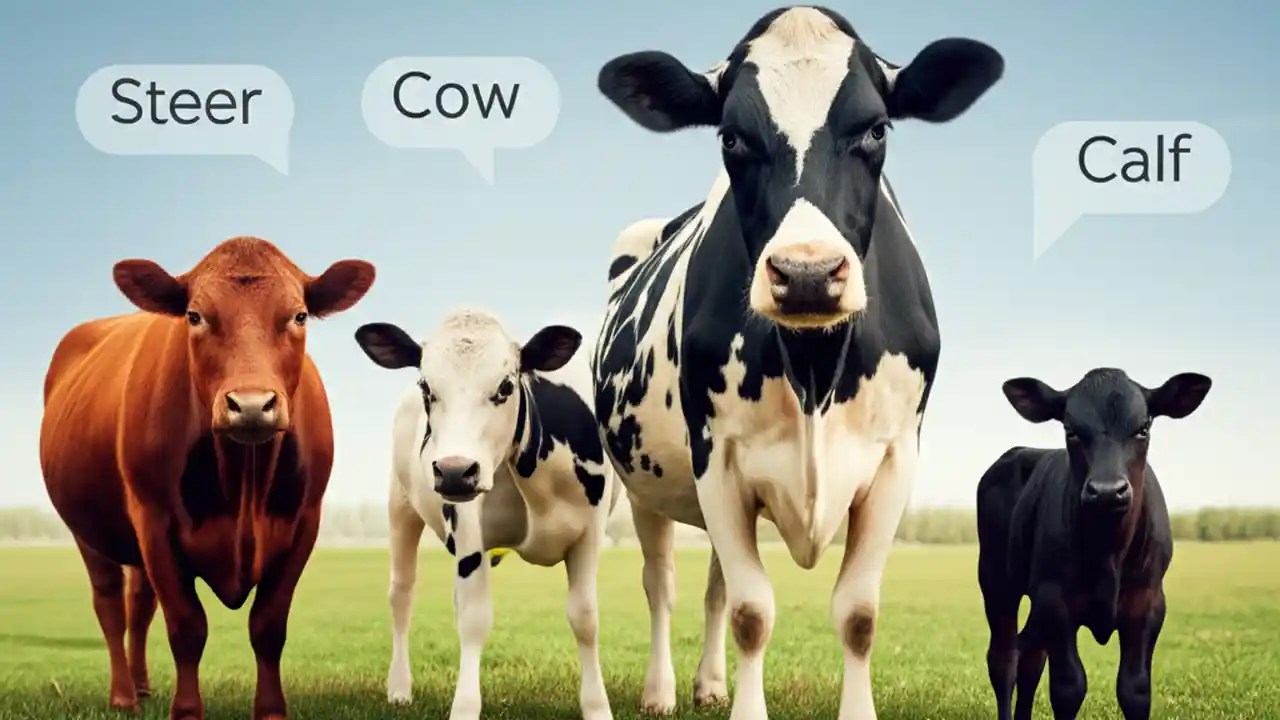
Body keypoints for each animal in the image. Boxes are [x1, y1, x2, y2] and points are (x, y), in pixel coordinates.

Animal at [39, 236, 375, 720]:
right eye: (195, 316)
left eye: (298, 315)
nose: (251, 405)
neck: (243, 482)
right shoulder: (154, 523)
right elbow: (186, 626)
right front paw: (186, 711)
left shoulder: (304, 523)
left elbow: (268, 625)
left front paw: (271, 711)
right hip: (87, 529)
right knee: (110, 603)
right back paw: (123, 694)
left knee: (139, 603)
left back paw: (142, 684)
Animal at [354, 308, 620, 720]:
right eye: (427, 387)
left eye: (506, 386)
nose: (453, 470)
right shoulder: (470, 537)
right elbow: (474, 620)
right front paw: (464, 708)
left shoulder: (590, 533)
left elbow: (585, 617)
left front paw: (597, 708)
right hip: (400, 504)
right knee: (401, 593)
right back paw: (399, 687)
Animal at [590, 6, 1003, 719]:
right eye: (731, 136)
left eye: (876, 128)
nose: (807, 274)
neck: (814, 367)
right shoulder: (717, 457)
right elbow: (753, 612)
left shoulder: (895, 458)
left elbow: (857, 613)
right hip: (645, 481)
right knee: (662, 585)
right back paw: (661, 691)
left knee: (713, 585)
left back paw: (709, 685)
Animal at [977, 368, 1212, 720]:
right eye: (1071, 430)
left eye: (1143, 429)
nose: (1106, 490)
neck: (1108, 551)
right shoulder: (1055, 600)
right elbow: (1068, 688)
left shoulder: (1148, 603)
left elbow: (1135, 689)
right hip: (995, 581)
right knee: (1004, 658)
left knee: (1030, 655)